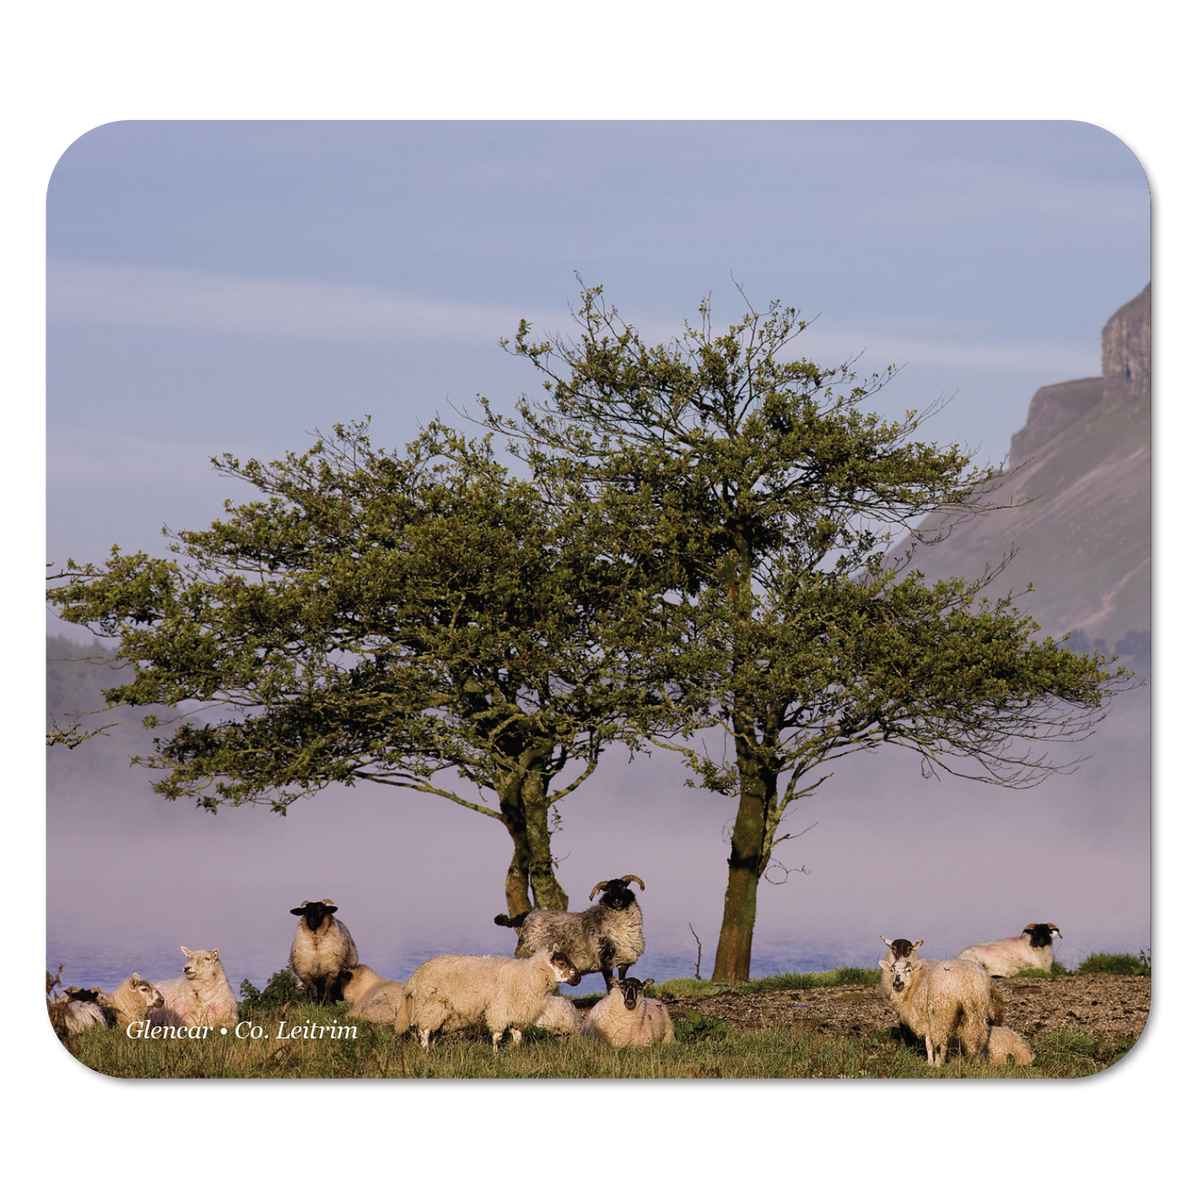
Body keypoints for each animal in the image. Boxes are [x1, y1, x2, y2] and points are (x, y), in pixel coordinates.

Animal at [402, 946, 581, 1050]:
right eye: (561, 963)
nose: (578, 978)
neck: (528, 976)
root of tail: (414, 979)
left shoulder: (515, 1011)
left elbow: (517, 1036)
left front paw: (515, 1052)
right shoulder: (499, 1009)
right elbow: (498, 1036)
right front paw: (496, 1054)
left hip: (441, 1011)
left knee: (431, 1032)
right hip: (430, 1006)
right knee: (424, 1031)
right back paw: (425, 1051)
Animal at [494, 874, 646, 991]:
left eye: (624, 887)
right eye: (607, 891)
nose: (617, 902)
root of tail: (529, 914)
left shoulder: (623, 962)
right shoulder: (605, 962)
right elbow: (610, 987)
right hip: (525, 954)